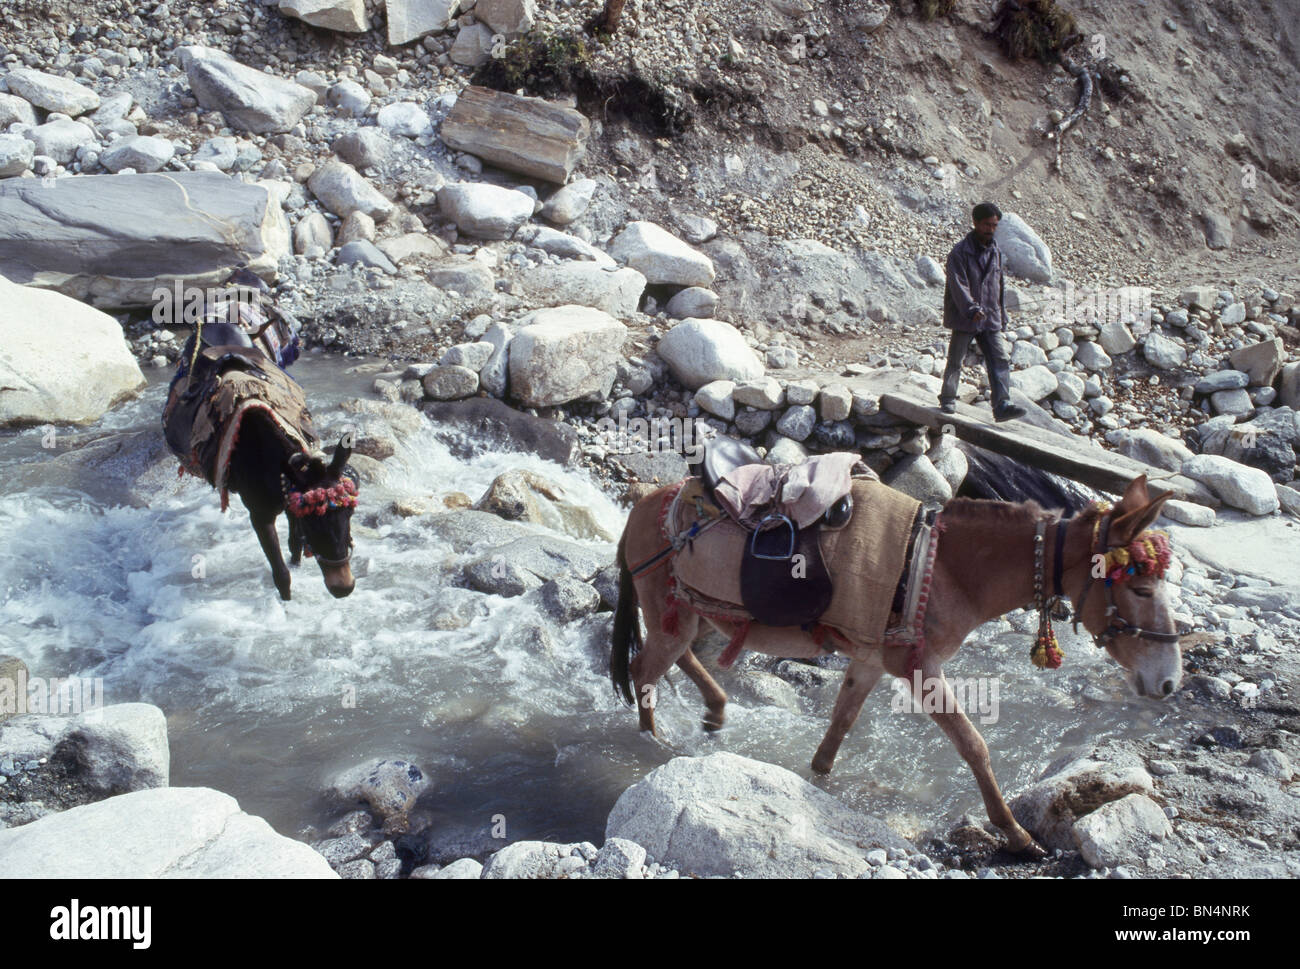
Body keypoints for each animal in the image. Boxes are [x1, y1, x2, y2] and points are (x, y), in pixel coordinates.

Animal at [610, 473, 1182, 858]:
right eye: (1141, 588)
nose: (1170, 681)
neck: (948, 569)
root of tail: (644, 505)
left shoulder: (870, 662)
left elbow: (838, 730)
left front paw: (821, 781)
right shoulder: (920, 668)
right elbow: (974, 745)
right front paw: (1016, 834)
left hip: (687, 613)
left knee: (673, 659)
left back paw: (715, 710)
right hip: (673, 612)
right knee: (644, 672)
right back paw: (654, 741)